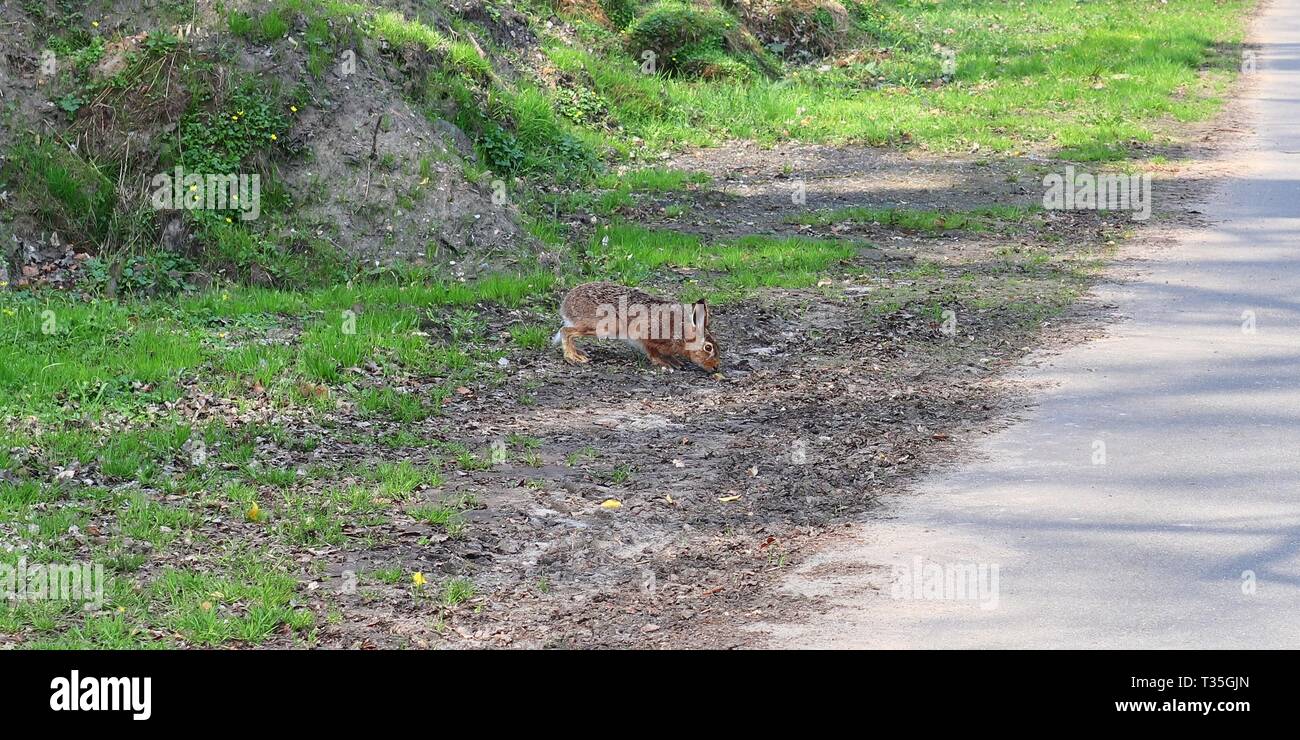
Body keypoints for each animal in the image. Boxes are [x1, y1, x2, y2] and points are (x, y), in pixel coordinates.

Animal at [553, 282, 721, 372]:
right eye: (708, 348)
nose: (716, 367)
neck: (683, 336)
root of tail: (566, 305)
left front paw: (676, 362)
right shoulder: (647, 336)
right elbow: (652, 353)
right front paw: (665, 364)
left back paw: (579, 352)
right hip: (606, 326)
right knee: (565, 331)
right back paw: (573, 357)